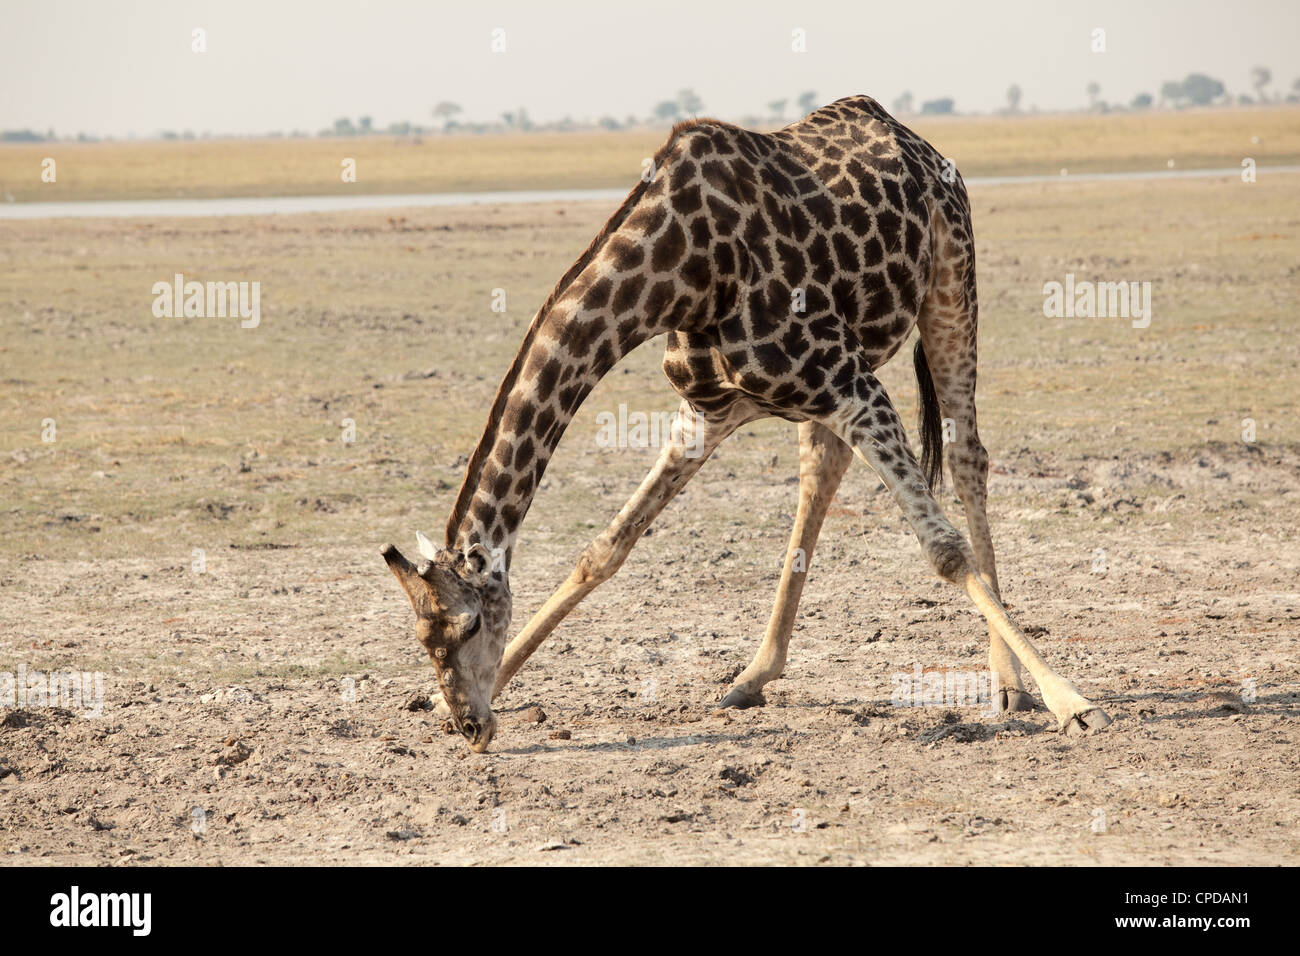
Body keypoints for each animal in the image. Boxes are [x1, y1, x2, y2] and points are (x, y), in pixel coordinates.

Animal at [382, 94, 1112, 753]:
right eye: (421, 637)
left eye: (468, 627)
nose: (471, 726)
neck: (678, 272)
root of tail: (916, 142)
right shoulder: (712, 409)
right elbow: (605, 549)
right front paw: (465, 696)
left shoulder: (847, 379)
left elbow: (944, 549)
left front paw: (1073, 702)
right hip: (821, 391)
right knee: (823, 470)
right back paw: (753, 676)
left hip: (949, 287)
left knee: (967, 458)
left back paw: (1008, 684)